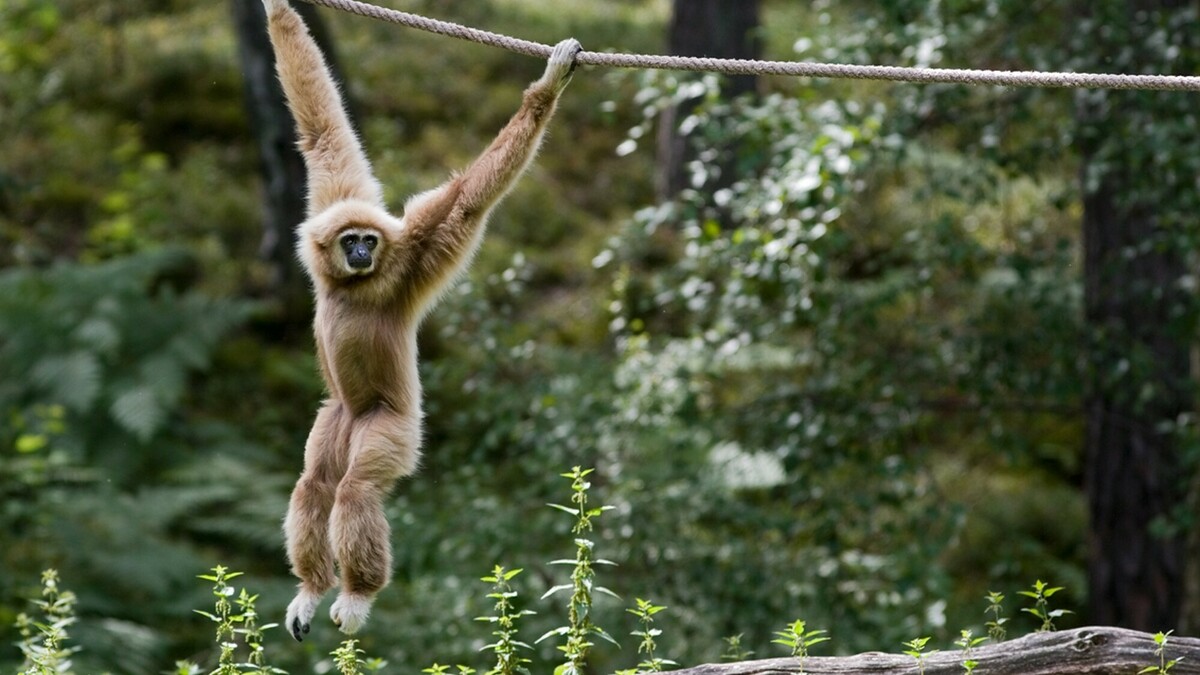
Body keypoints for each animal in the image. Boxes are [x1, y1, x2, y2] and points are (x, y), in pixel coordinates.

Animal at [260, 0, 581, 640]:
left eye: (368, 241)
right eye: (350, 241)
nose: (362, 251)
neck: (354, 283)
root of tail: (359, 416)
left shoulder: (410, 251)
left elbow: (468, 201)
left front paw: (548, 87)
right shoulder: (341, 200)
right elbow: (321, 129)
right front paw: (278, 10)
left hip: (395, 428)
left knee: (356, 489)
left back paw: (356, 594)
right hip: (336, 418)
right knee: (316, 484)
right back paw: (311, 589)